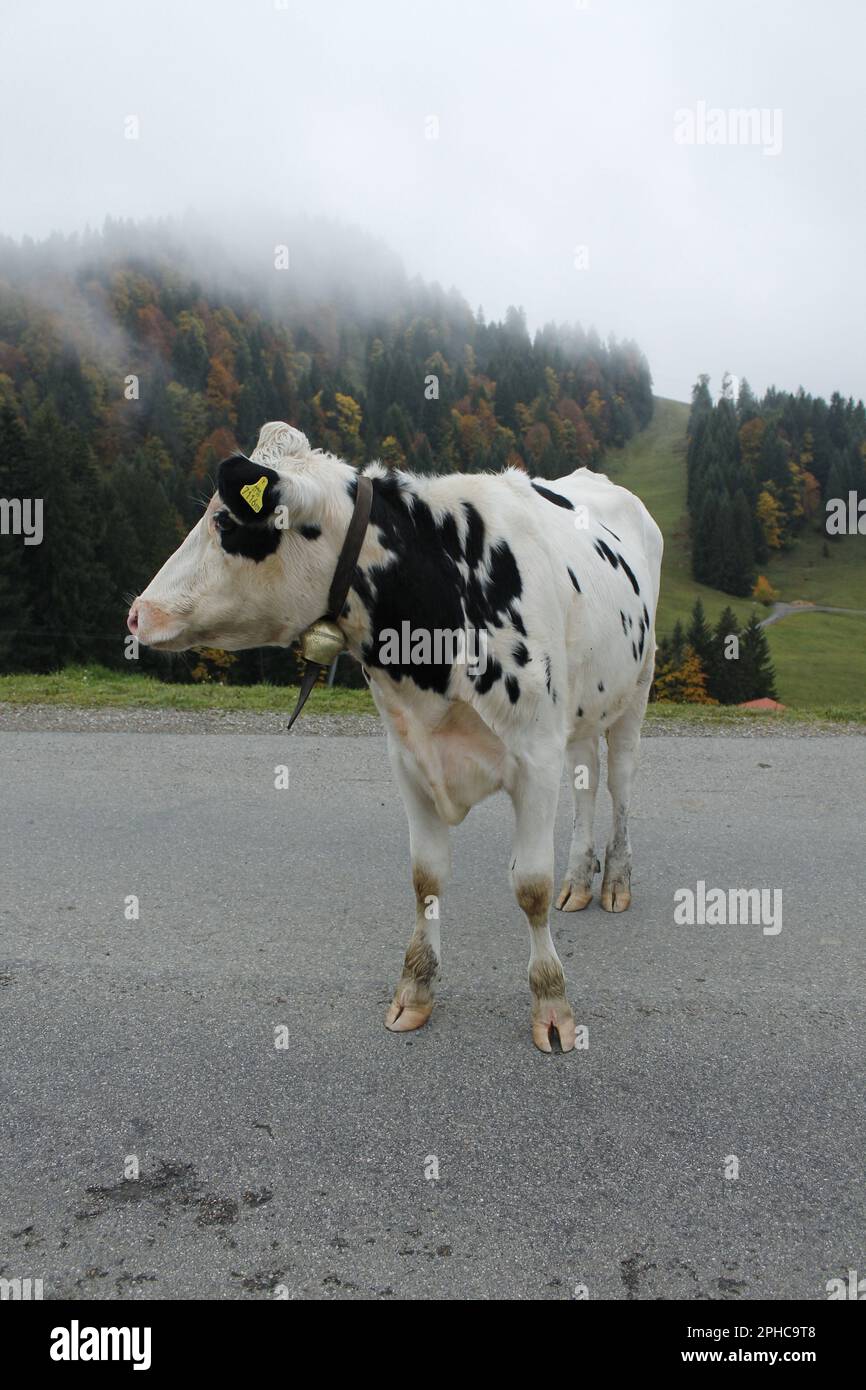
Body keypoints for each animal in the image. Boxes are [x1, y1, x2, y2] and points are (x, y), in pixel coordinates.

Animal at [129, 421, 663, 1052]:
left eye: (223, 522)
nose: (138, 614)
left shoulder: (535, 755)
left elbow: (530, 885)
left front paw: (551, 1004)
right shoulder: (409, 756)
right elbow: (425, 877)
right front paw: (415, 988)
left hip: (638, 682)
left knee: (621, 780)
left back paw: (615, 881)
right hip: (583, 704)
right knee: (586, 780)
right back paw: (580, 880)